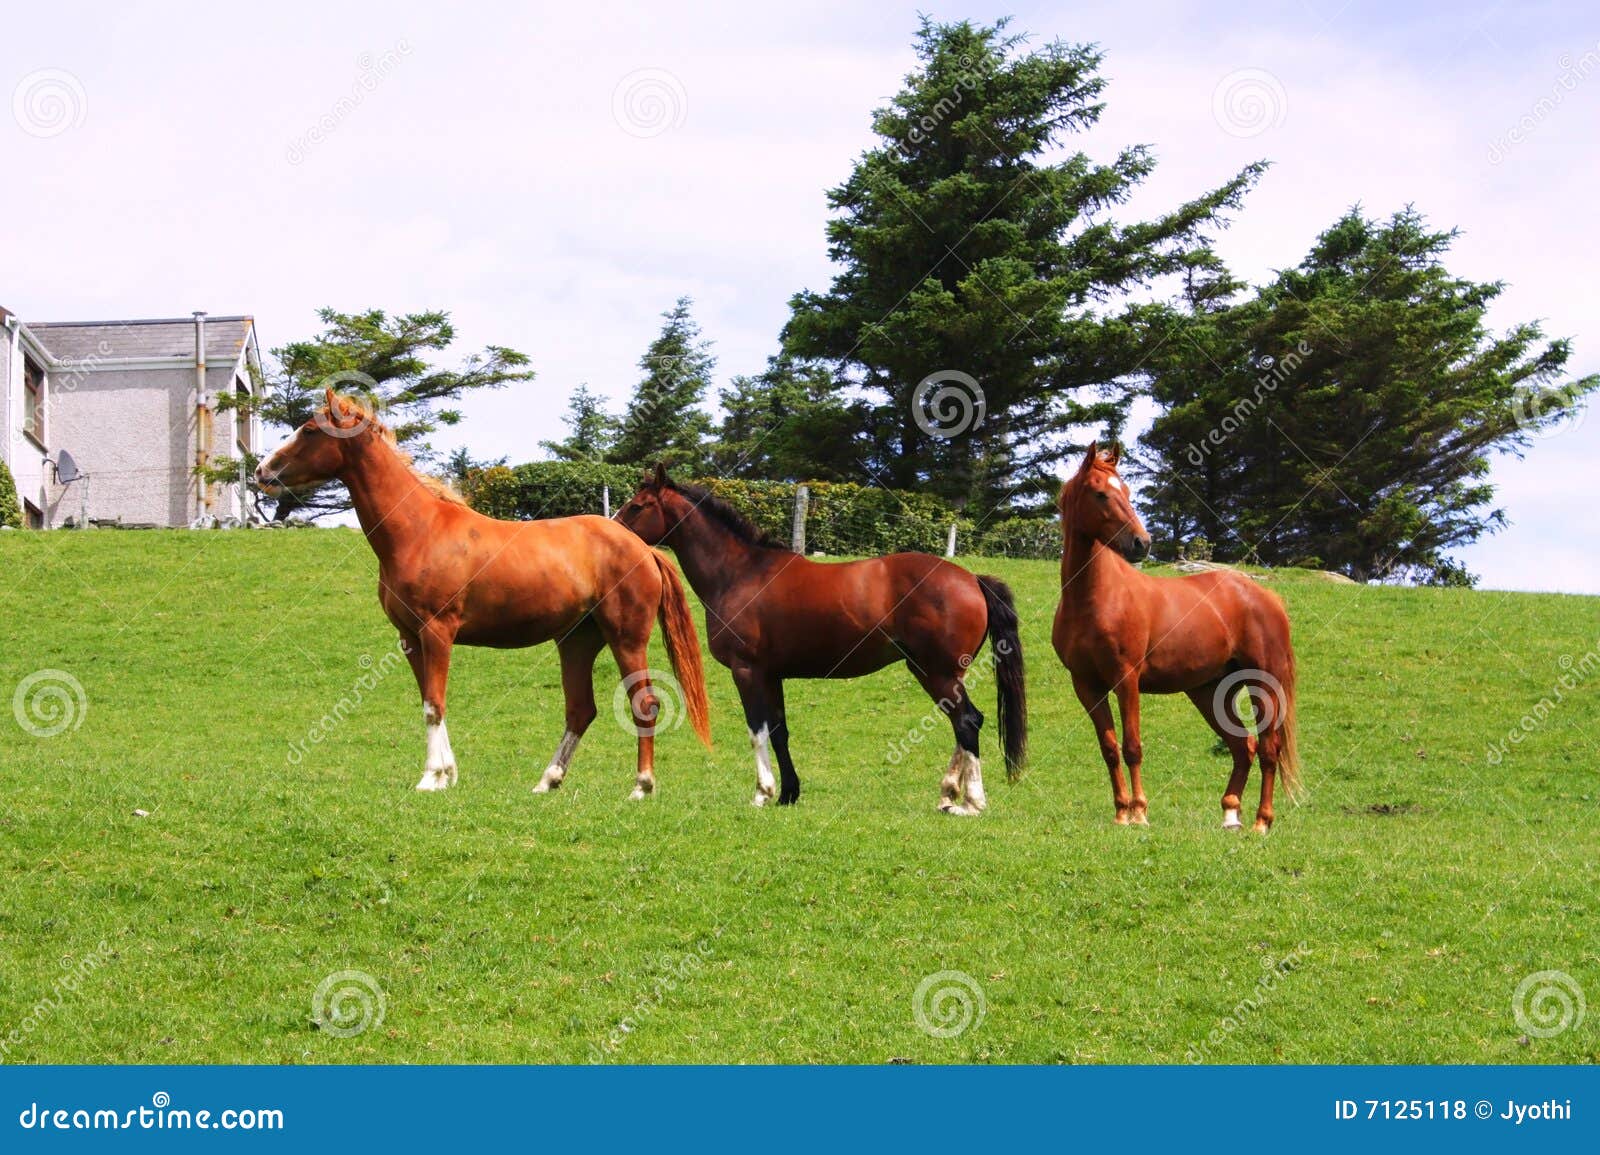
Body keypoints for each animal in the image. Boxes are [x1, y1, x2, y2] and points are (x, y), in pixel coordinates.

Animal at [255, 389, 711, 799]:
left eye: (310, 430)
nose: (262, 471)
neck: (419, 530)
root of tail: (645, 549)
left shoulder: (437, 632)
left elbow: (434, 703)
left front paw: (431, 778)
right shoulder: (410, 638)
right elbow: (428, 701)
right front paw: (447, 774)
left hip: (626, 639)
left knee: (644, 703)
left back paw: (641, 785)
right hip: (577, 641)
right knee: (581, 709)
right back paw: (547, 781)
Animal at [616, 465, 1026, 814]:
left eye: (638, 505)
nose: (614, 534)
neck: (740, 573)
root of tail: (972, 580)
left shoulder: (747, 672)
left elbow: (757, 731)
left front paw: (762, 793)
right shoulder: (771, 675)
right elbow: (779, 732)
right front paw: (788, 793)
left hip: (937, 672)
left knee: (967, 722)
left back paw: (971, 802)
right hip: (936, 673)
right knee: (964, 723)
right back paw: (949, 794)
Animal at [1051, 443, 1300, 831]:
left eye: (1127, 491)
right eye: (1101, 493)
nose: (1142, 543)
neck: (1097, 598)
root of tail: (1266, 598)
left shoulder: (1127, 680)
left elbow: (1132, 746)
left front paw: (1139, 812)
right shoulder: (1087, 685)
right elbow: (1109, 748)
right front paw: (1121, 812)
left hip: (1264, 683)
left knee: (1268, 748)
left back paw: (1262, 821)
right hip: (1211, 690)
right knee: (1242, 746)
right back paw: (1230, 814)